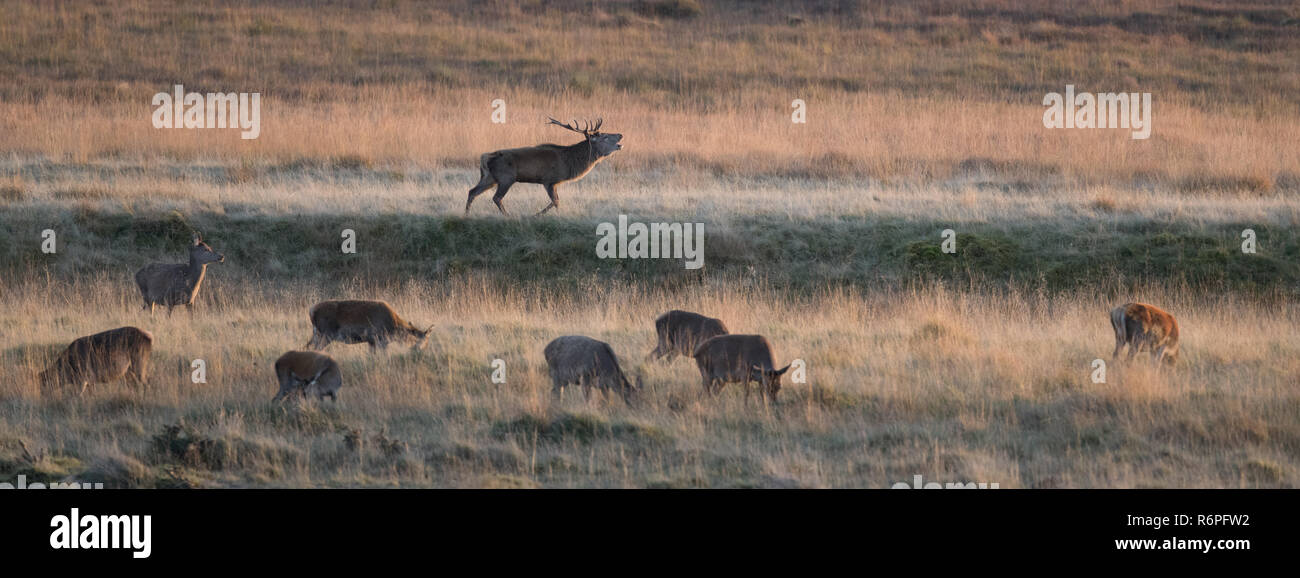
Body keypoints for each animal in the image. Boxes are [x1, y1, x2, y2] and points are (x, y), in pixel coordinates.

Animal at [465, 117, 623, 216]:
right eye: (605, 137)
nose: (620, 134)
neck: (569, 162)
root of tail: (485, 157)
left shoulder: (555, 183)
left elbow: (556, 201)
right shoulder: (549, 180)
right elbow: (556, 201)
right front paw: (539, 215)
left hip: (489, 178)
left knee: (472, 191)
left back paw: (466, 214)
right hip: (506, 177)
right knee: (496, 198)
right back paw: (507, 215)